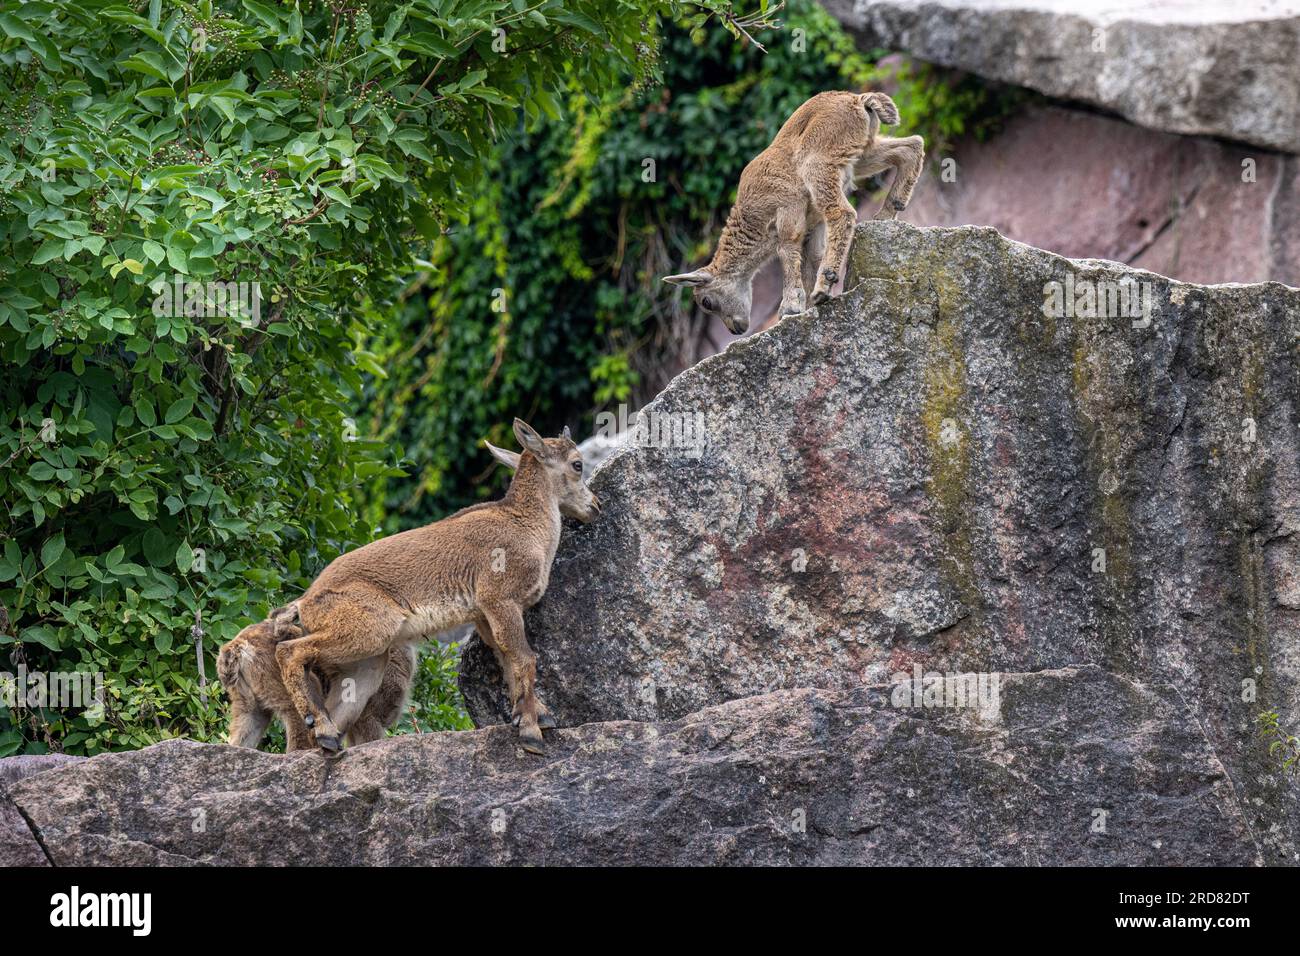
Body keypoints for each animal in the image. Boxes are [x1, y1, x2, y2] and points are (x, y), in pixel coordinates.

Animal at [275, 419, 599, 755]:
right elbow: (524, 658)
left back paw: (326, 737)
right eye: (577, 464)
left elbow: (507, 661)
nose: (596, 506)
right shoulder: (500, 599)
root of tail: (305, 603)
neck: (526, 526)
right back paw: (319, 723)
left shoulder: (483, 615)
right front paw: (532, 734)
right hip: (368, 629)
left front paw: (535, 716)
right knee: (288, 651)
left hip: (367, 662)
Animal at [664, 90, 925, 333]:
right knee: (911, 146)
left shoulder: (787, 208)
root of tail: (857, 100)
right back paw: (887, 213)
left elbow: (788, 248)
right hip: (862, 154)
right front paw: (805, 305)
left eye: (707, 301)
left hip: (819, 163)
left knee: (842, 213)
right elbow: (810, 258)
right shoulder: (812, 226)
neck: (753, 221)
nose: (736, 328)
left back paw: (824, 286)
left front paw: (790, 307)